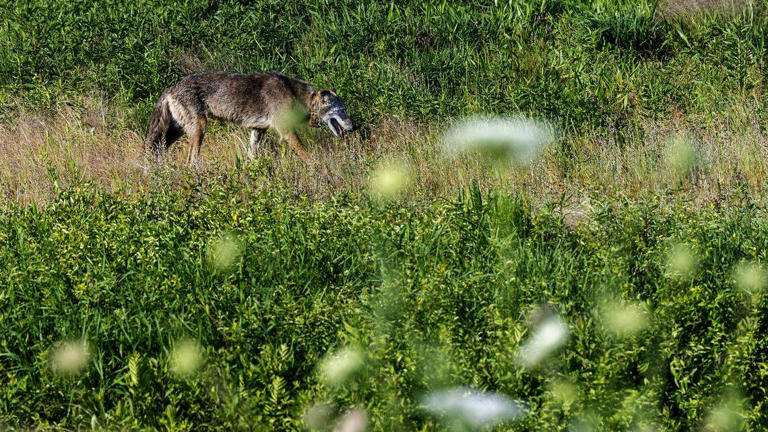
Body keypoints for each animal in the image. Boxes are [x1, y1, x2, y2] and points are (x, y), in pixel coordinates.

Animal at [144, 71, 355, 166]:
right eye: (341, 110)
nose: (353, 127)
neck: (296, 94)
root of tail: (170, 88)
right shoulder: (286, 131)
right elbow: (306, 154)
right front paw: (317, 167)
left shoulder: (257, 130)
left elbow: (252, 157)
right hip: (199, 129)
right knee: (190, 161)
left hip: (176, 132)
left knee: (158, 149)